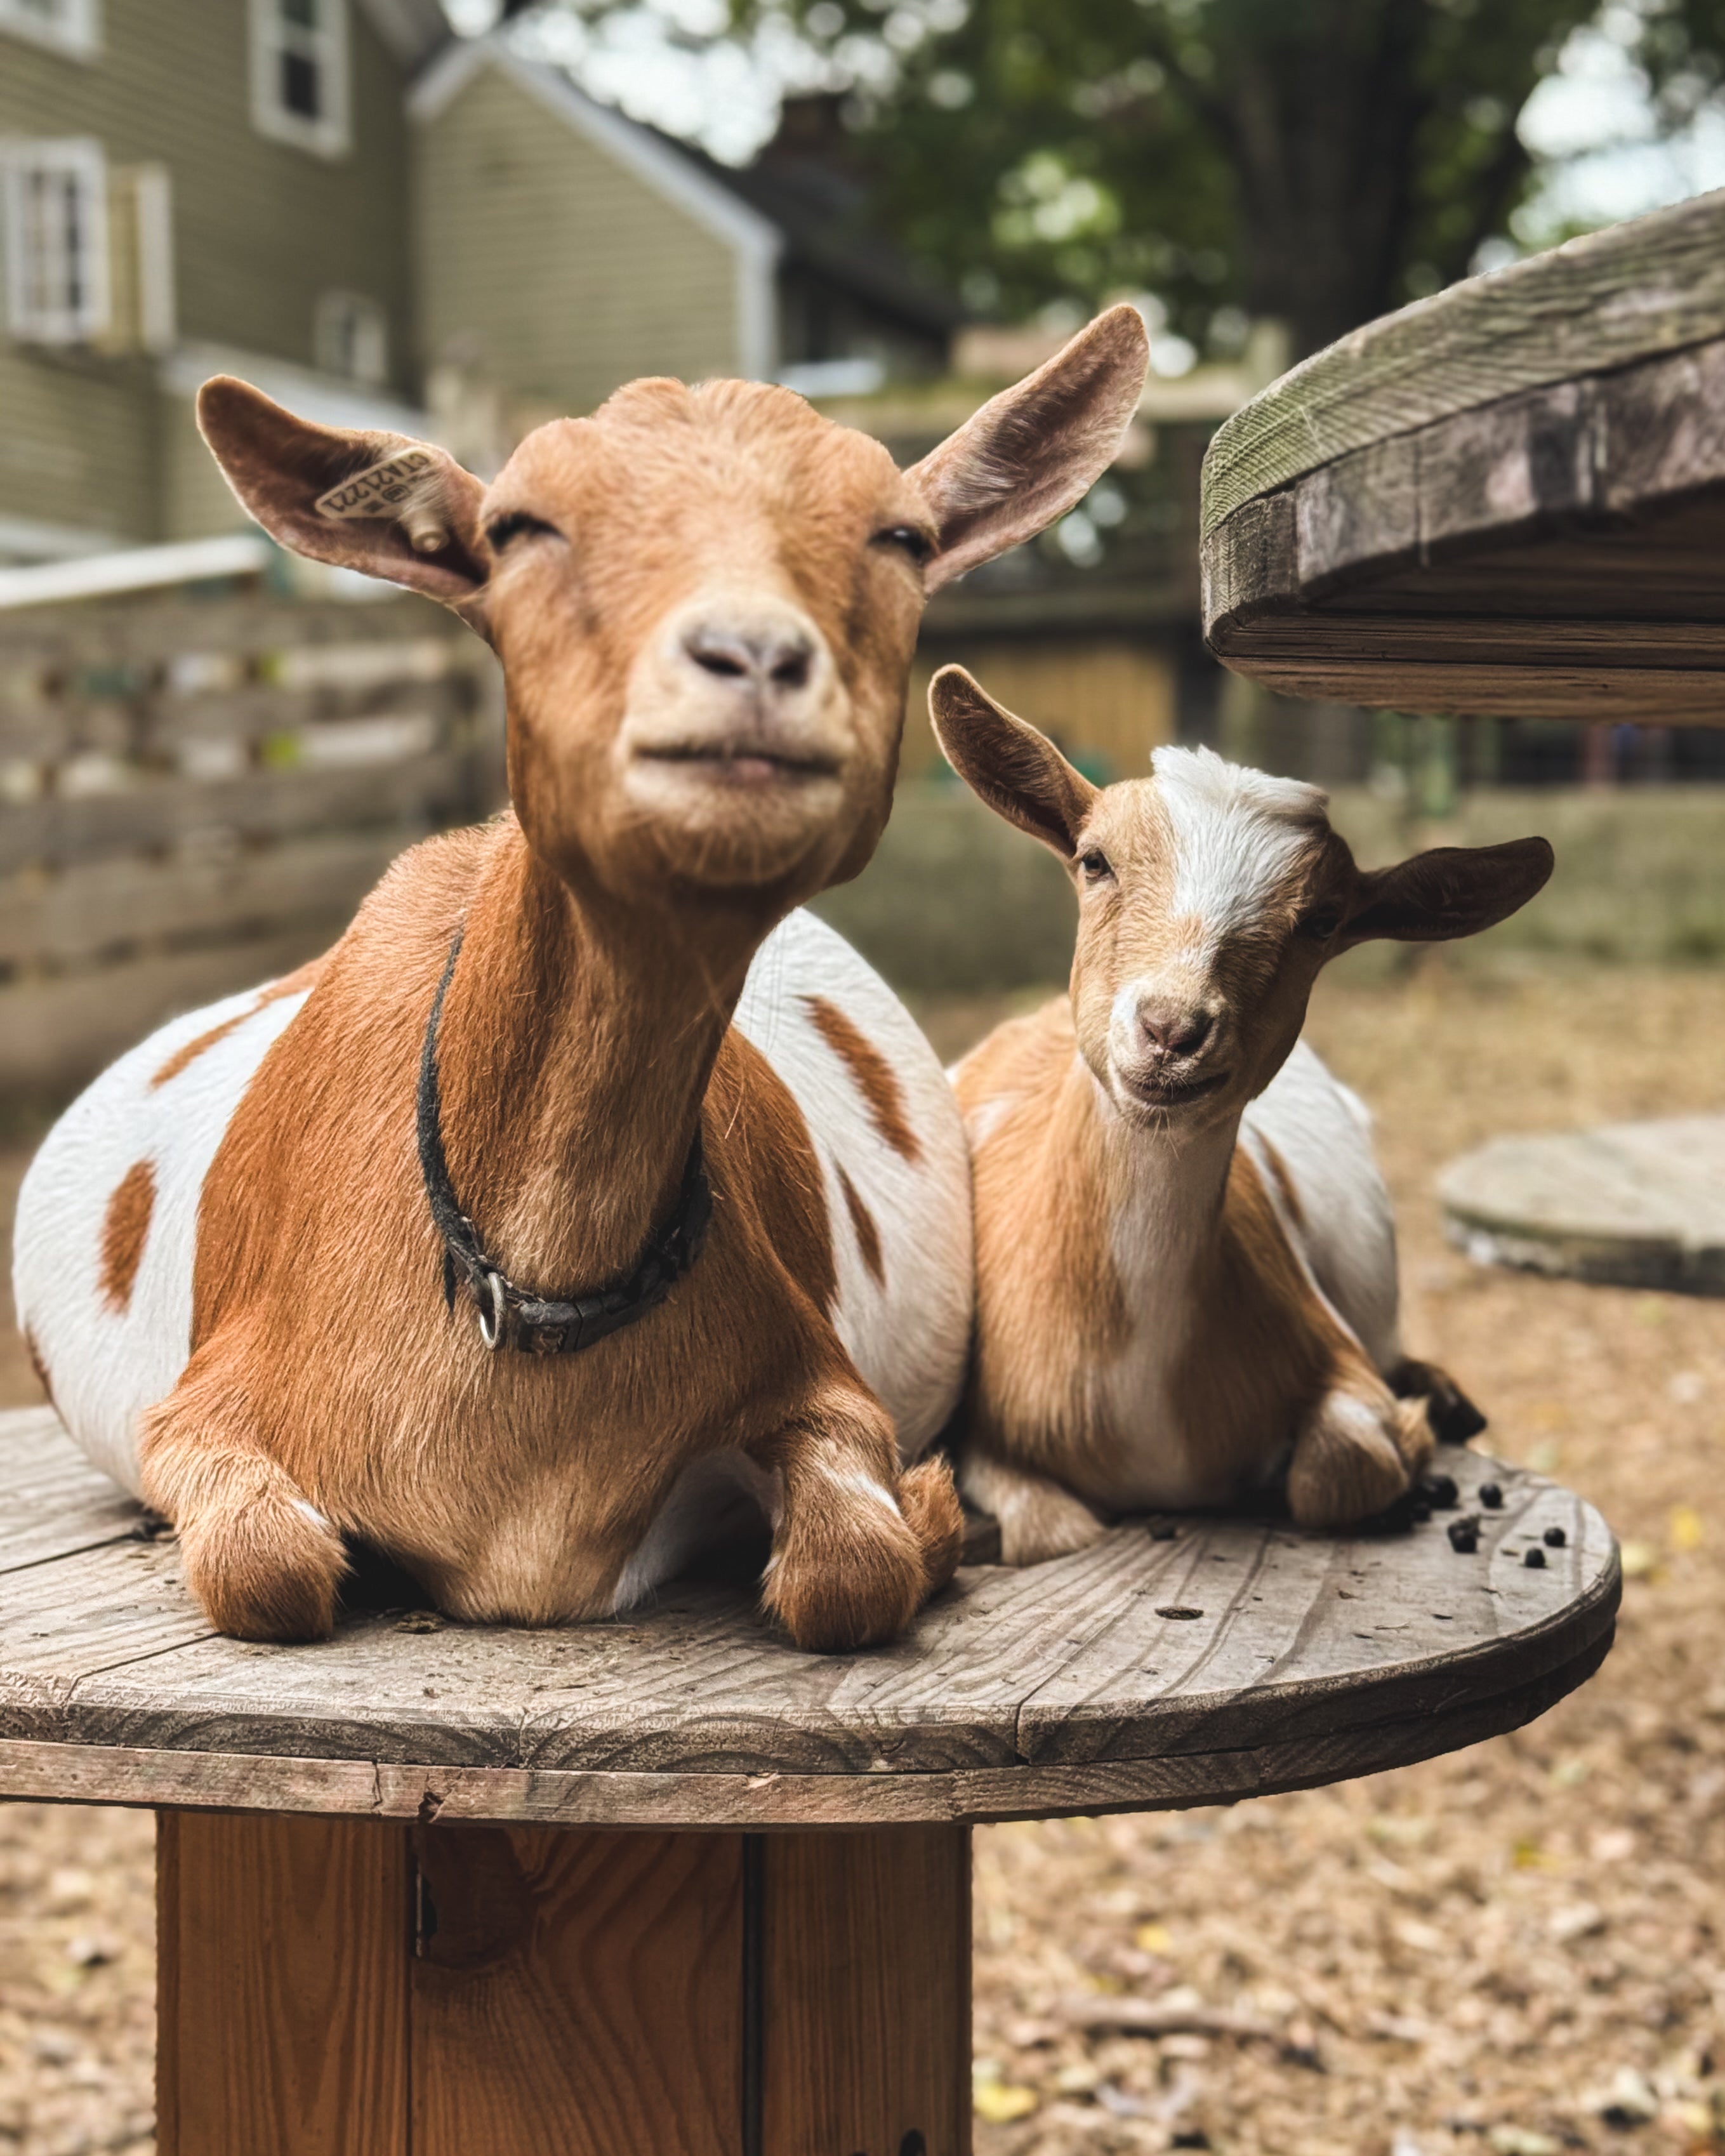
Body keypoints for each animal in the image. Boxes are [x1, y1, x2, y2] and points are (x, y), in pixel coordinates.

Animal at [11, 312, 1150, 1649]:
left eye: (902, 536)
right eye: (518, 528)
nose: (751, 656)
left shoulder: (814, 1378)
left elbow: (851, 1566)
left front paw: (924, 1518)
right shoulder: (199, 1409)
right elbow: (265, 1567)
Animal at [928, 666, 1552, 1562]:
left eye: (1323, 919)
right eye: (1094, 860)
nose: (1171, 1028)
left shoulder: (1335, 1354)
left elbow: (1342, 1464)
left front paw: (1412, 1435)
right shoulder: (981, 1431)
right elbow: (1053, 1530)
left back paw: (1445, 1395)